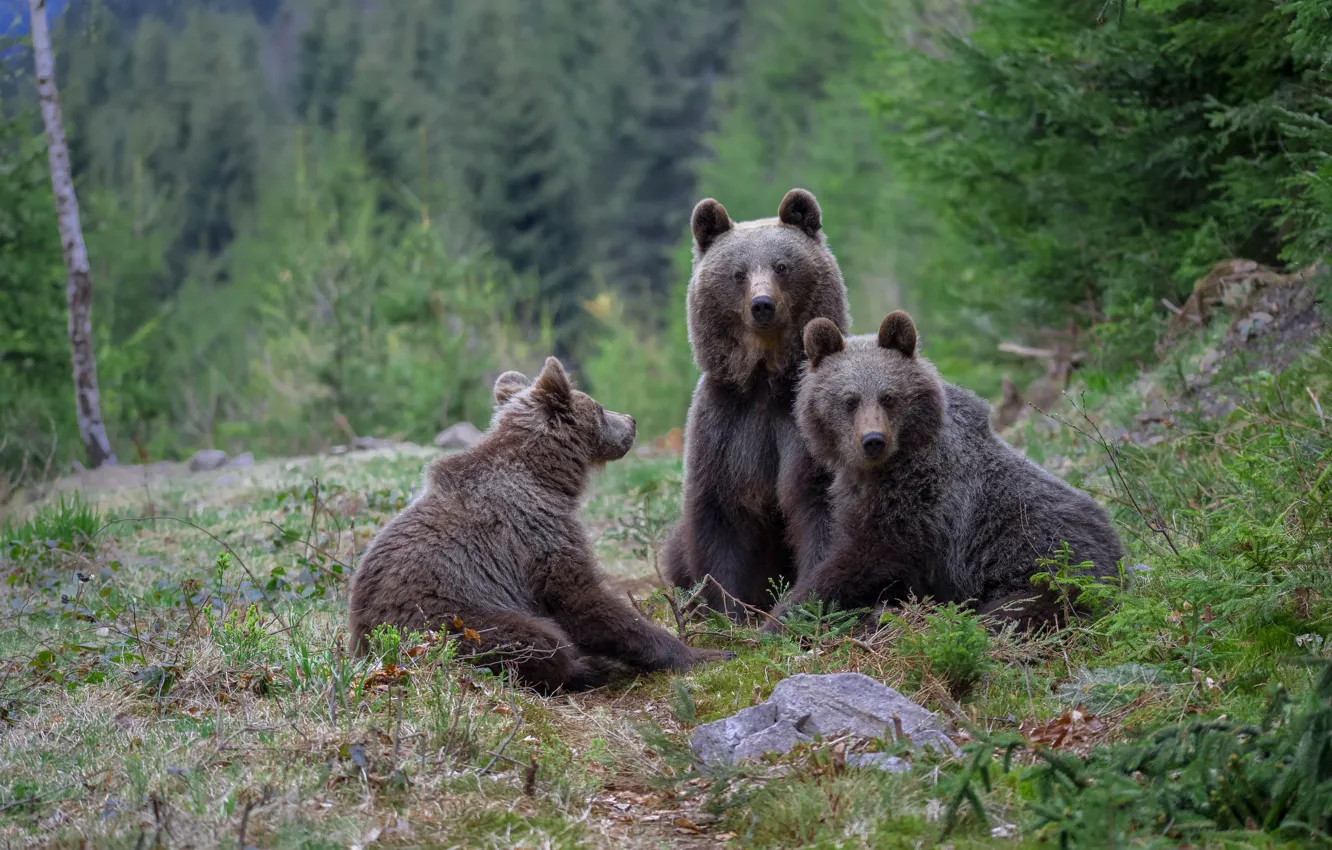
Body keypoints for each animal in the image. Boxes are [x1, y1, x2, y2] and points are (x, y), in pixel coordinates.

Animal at [347, 357, 733, 693]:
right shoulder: (537, 534)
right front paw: (706, 653)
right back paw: (587, 668)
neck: (546, 475)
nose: (631, 420)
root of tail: (369, 651)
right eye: (598, 407)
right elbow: (583, 600)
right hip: (452, 619)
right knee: (539, 640)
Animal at [662, 188, 851, 618]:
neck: (765, 380)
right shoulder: (728, 426)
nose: (762, 304)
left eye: (782, 266)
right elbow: (723, 518)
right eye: (738, 273)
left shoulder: (803, 426)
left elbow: (820, 504)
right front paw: (729, 608)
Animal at [765, 312, 1125, 631]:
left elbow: (862, 560)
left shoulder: (923, 504)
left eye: (888, 397)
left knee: (1013, 612)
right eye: (849, 400)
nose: (873, 440)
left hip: (1050, 570)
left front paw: (782, 615)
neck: (882, 469)